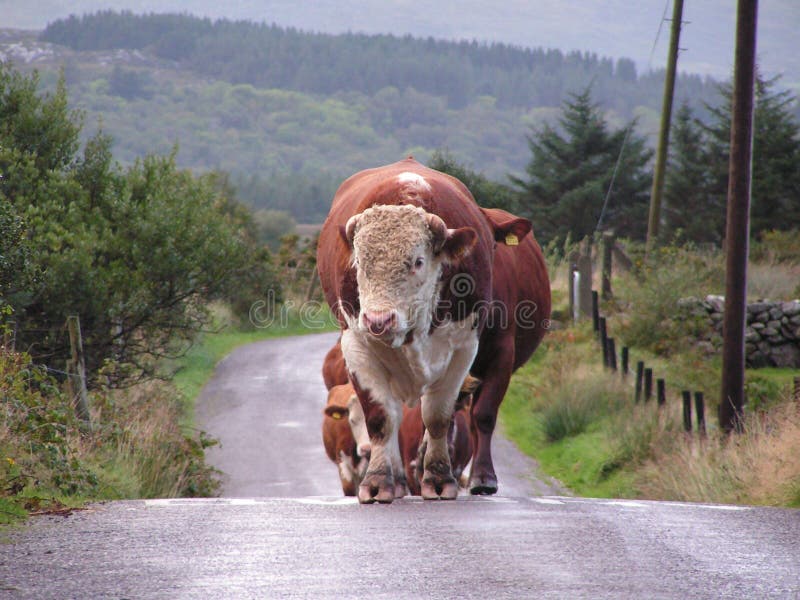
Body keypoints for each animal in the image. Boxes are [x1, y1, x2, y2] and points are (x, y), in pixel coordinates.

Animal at [318, 157, 545, 503]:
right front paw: (379, 482)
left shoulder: (469, 348)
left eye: (418, 261)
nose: (379, 320)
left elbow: (447, 416)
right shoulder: (357, 343)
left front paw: (441, 478)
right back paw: (398, 481)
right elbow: (381, 418)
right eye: (358, 262)